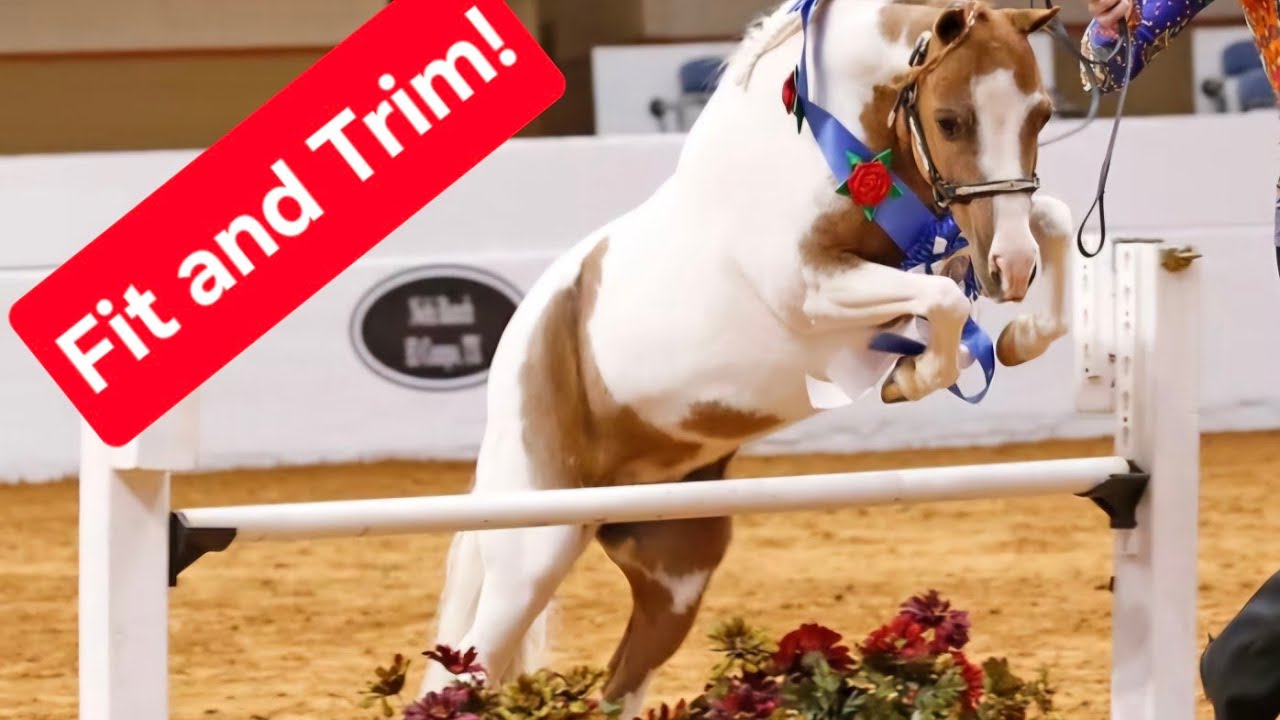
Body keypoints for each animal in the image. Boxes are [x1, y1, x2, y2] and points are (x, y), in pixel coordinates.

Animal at [419, 0, 1075, 714]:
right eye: (951, 119)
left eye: (1042, 114)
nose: (1010, 269)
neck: (816, 145)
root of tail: (522, 339)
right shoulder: (815, 289)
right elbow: (944, 300)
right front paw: (913, 375)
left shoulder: (950, 239)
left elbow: (1052, 219)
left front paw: (1019, 338)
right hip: (534, 547)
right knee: (459, 673)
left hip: (676, 571)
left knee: (618, 687)